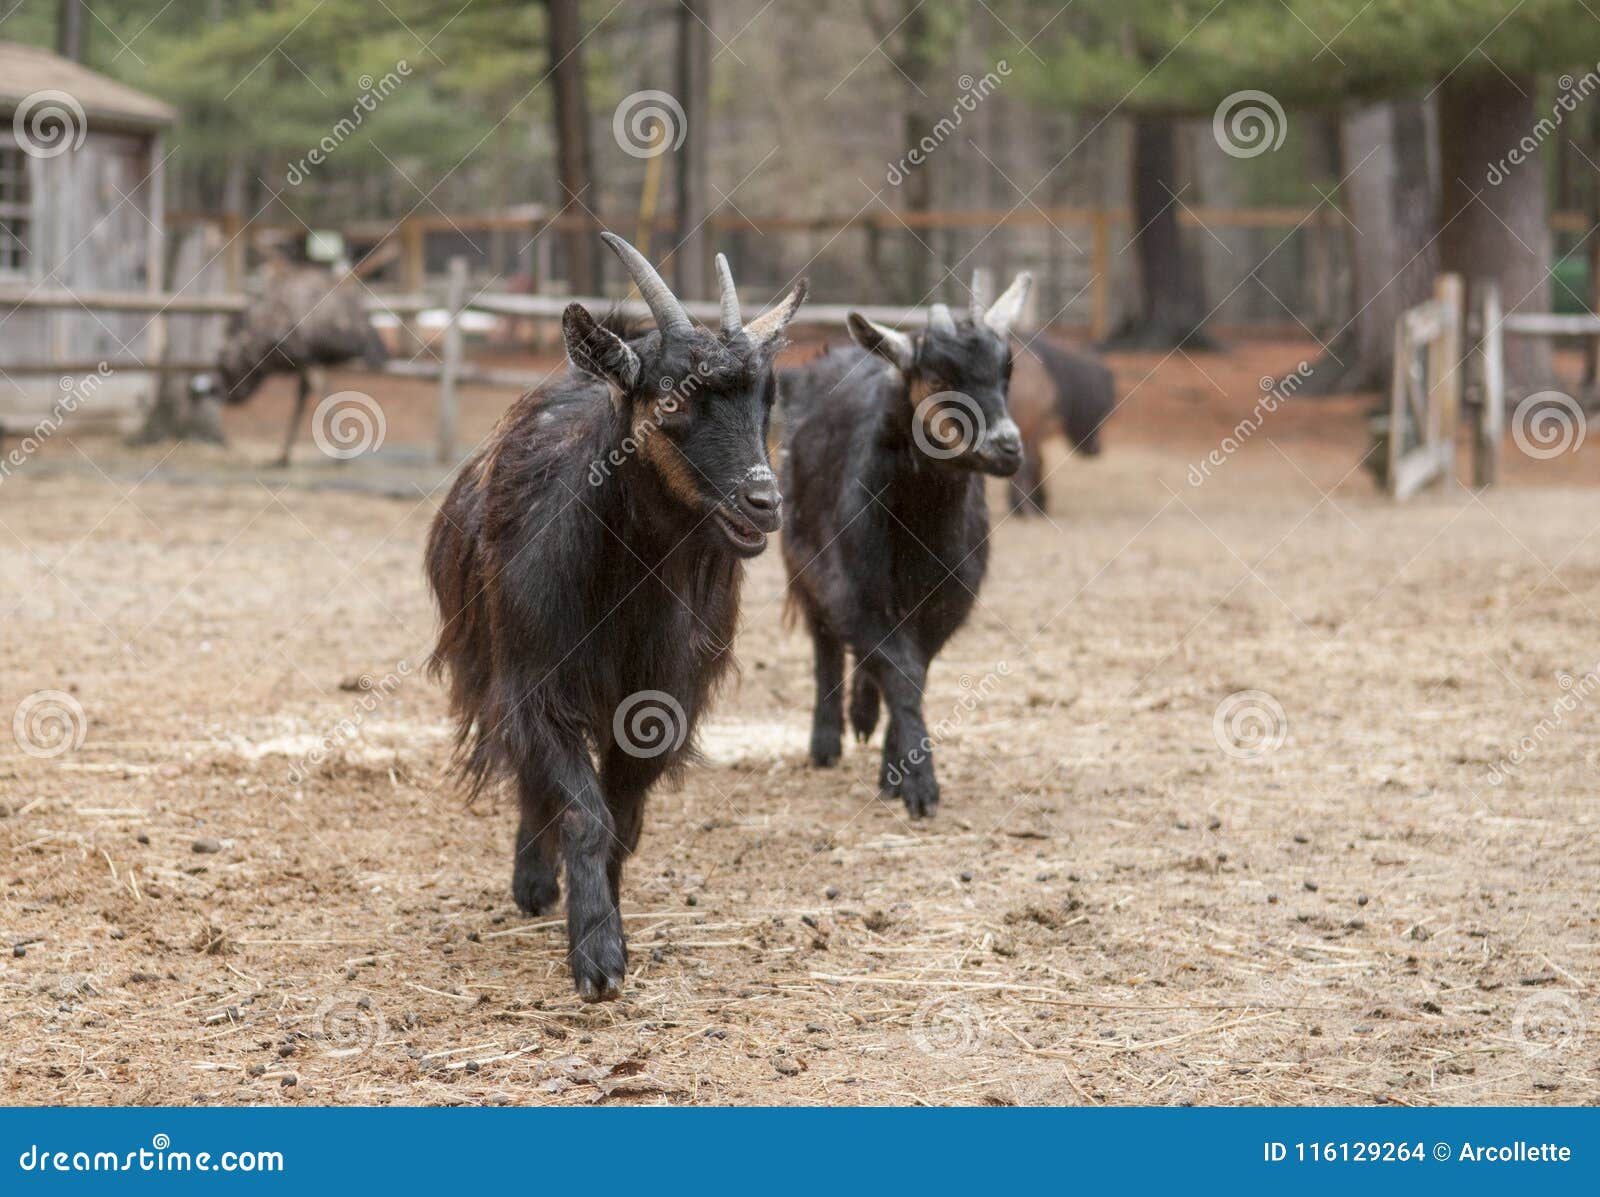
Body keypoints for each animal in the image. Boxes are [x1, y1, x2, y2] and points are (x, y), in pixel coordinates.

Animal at [191, 264, 387, 466]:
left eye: (224, 368)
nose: (213, 389)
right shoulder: (306, 363)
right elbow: (302, 400)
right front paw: (283, 456)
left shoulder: (304, 358)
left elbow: (318, 396)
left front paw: (339, 455)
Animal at [425, 233, 805, 1001]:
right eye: (671, 397)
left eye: (768, 395)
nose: (763, 503)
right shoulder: (536, 682)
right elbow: (582, 809)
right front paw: (596, 954)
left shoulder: (664, 697)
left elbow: (623, 815)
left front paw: (613, 920)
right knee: (531, 780)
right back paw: (535, 883)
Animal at [779, 273, 1030, 817]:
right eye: (936, 380)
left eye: (1007, 371)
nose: (1007, 447)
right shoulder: (853, 587)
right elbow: (900, 667)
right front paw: (919, 785)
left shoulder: (946, 600)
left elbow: (914, 666)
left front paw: (895, 770)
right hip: (803, 559)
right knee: (826, 642)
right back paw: (827, 741)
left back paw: (863, 716)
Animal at [1006, 336, 1115, 516]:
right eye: (1102, 409)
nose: (1096, 450)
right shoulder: (1030, 429)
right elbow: (1031, 463)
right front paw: (1025, 507)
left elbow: (1038, 462)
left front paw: (1037, 502)